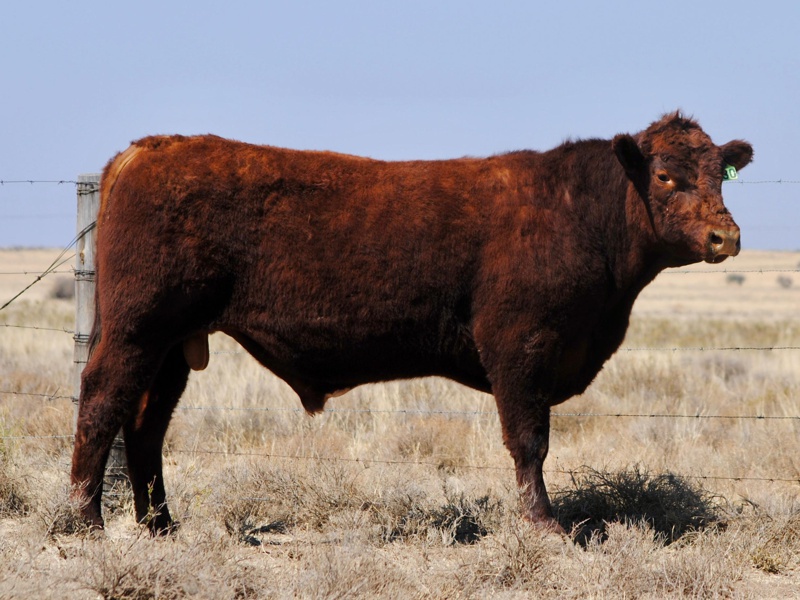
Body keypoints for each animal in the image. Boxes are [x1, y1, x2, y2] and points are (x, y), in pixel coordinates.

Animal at [71, 112, 752, 534]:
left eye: (719, 175)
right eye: (664, 175)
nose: (726, 236)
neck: (581, 213)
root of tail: (147, 148)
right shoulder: (520, 346)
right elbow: (529, 441)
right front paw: (545, 525)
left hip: (171, 344)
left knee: (146, 425)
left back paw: (160, 526)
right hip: (137, 328)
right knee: (101, 403)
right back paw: (85, 520)